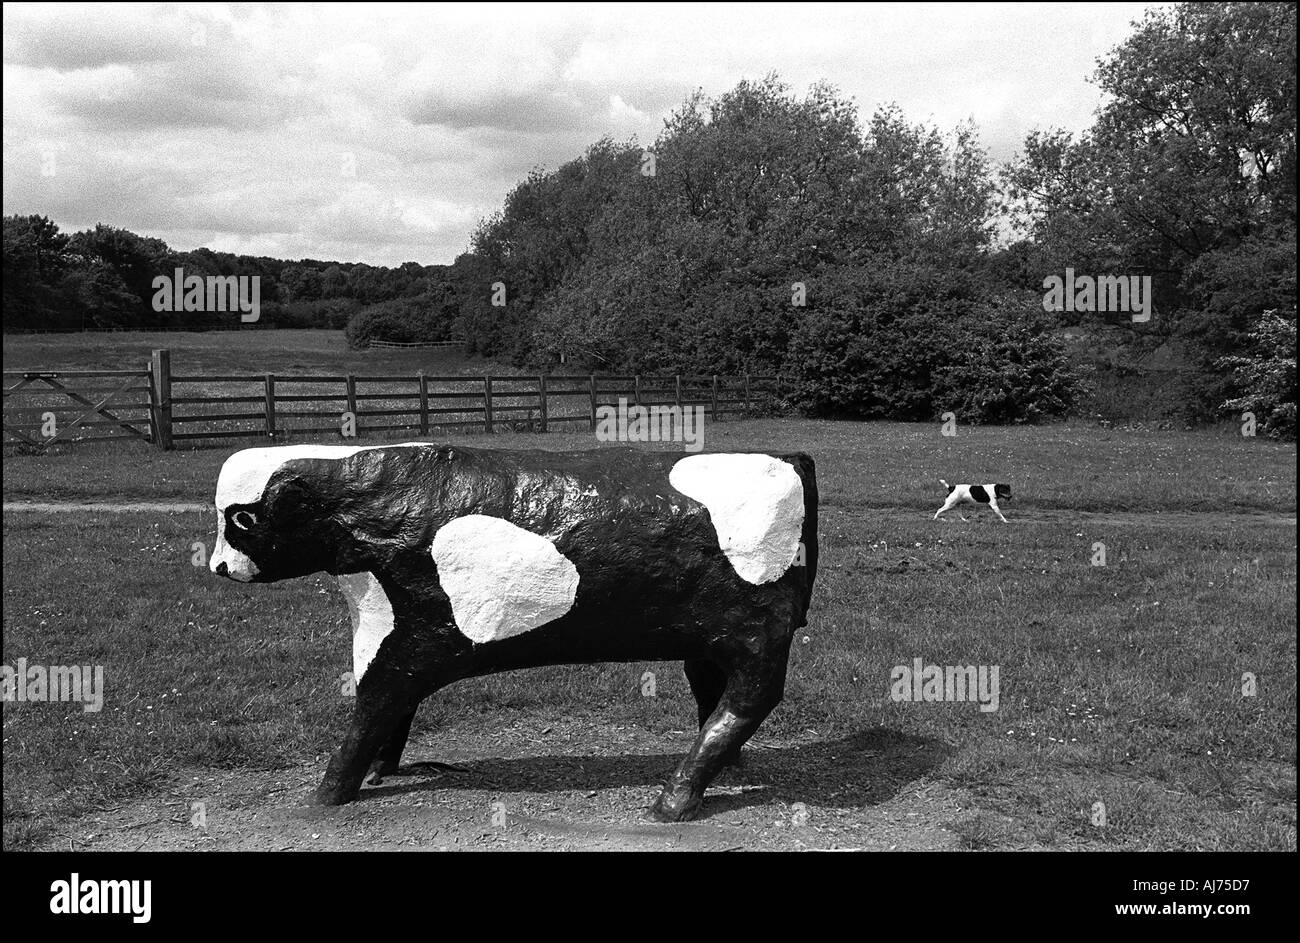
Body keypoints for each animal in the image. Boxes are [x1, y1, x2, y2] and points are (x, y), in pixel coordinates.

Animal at [209, 442, 818, 822]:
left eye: (242, 518)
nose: (217, 566)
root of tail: (787, 457)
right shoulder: (387, 638)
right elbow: (390, 715)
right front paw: (383, 771)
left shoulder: (407, 642)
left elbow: (371, 710)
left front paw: (331, 790)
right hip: (706, 637)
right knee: (712, 690)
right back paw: (727, 767)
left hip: (756, 631)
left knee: (752, 696)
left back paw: (675, 797)